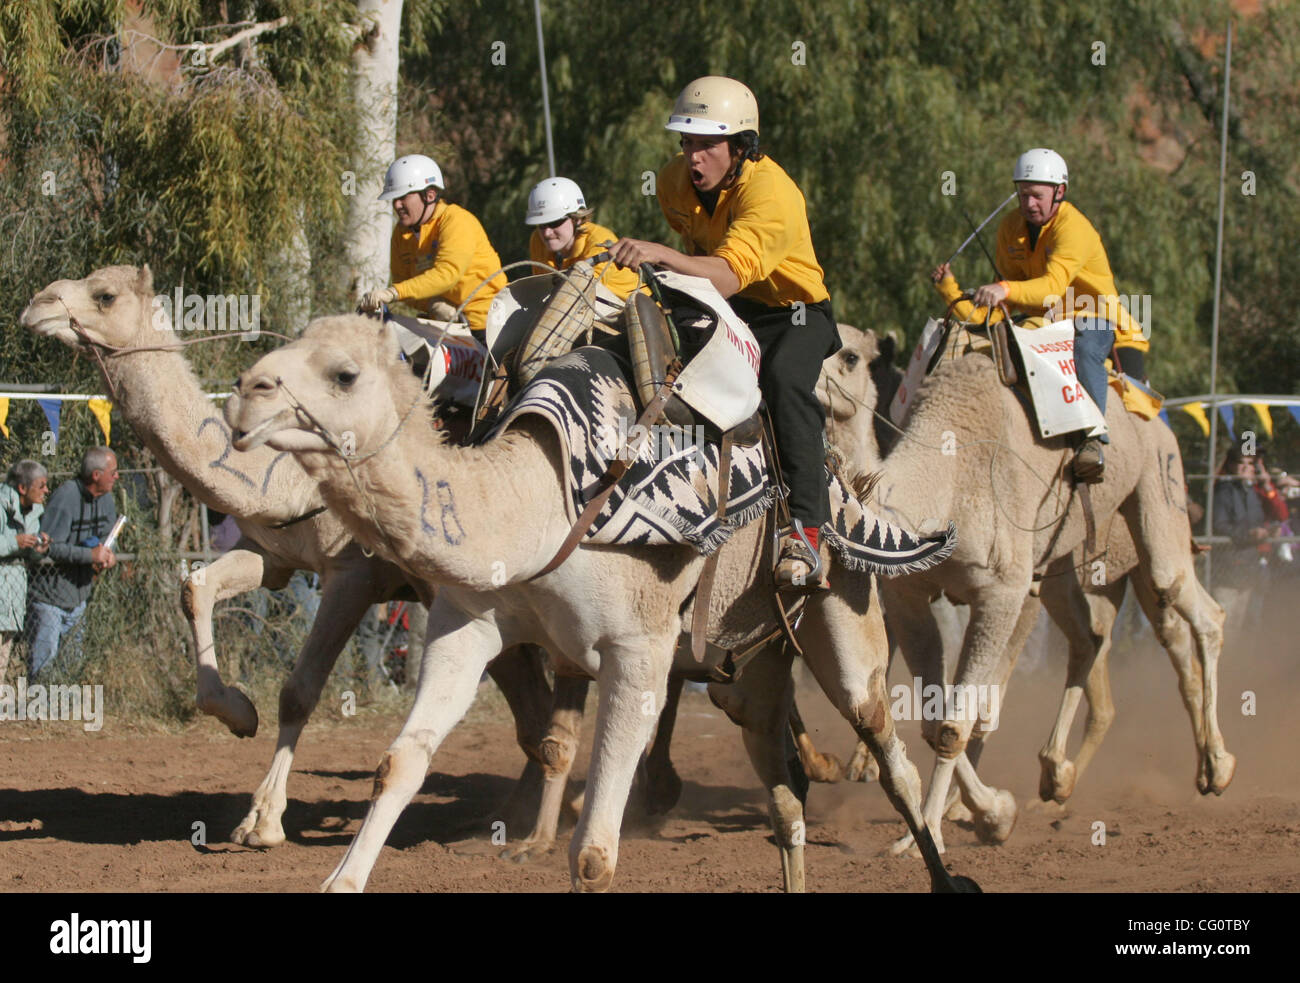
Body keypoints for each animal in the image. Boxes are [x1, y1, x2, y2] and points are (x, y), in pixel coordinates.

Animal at [19, 265, 557, 848]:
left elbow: (299, 691)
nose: (36, 305)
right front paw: (237, 714)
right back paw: (517, 817)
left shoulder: (354, 574)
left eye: (105, 295)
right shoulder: (272, 553)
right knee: (536, 702)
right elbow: (196, 587)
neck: (288, 478)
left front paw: (264, 822)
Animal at [223, 314, 976, 893]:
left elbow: (592, 854)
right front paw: (337, 875)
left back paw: (946, 871)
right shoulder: (466, 624)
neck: (539, 502)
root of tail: (849, 491)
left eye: (344, 373)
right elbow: (399, 763)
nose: (244, 394)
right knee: (784, 793)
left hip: (843, 619)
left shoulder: (637, 651)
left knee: (888, 750)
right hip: (747, 666)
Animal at [815, 322, 1235, 854]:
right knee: (1091, 638)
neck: (946, 483)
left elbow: (957, 723)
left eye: (849, 355)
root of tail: (1148, 404)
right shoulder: (909, 598)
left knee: (1189, 603)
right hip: (1061, 566)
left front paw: (941, 828)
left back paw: (1217, 769)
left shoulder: (1003, 594)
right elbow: (934, 719)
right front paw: (976, 814)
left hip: (1158, 493)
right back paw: (1058, 776)